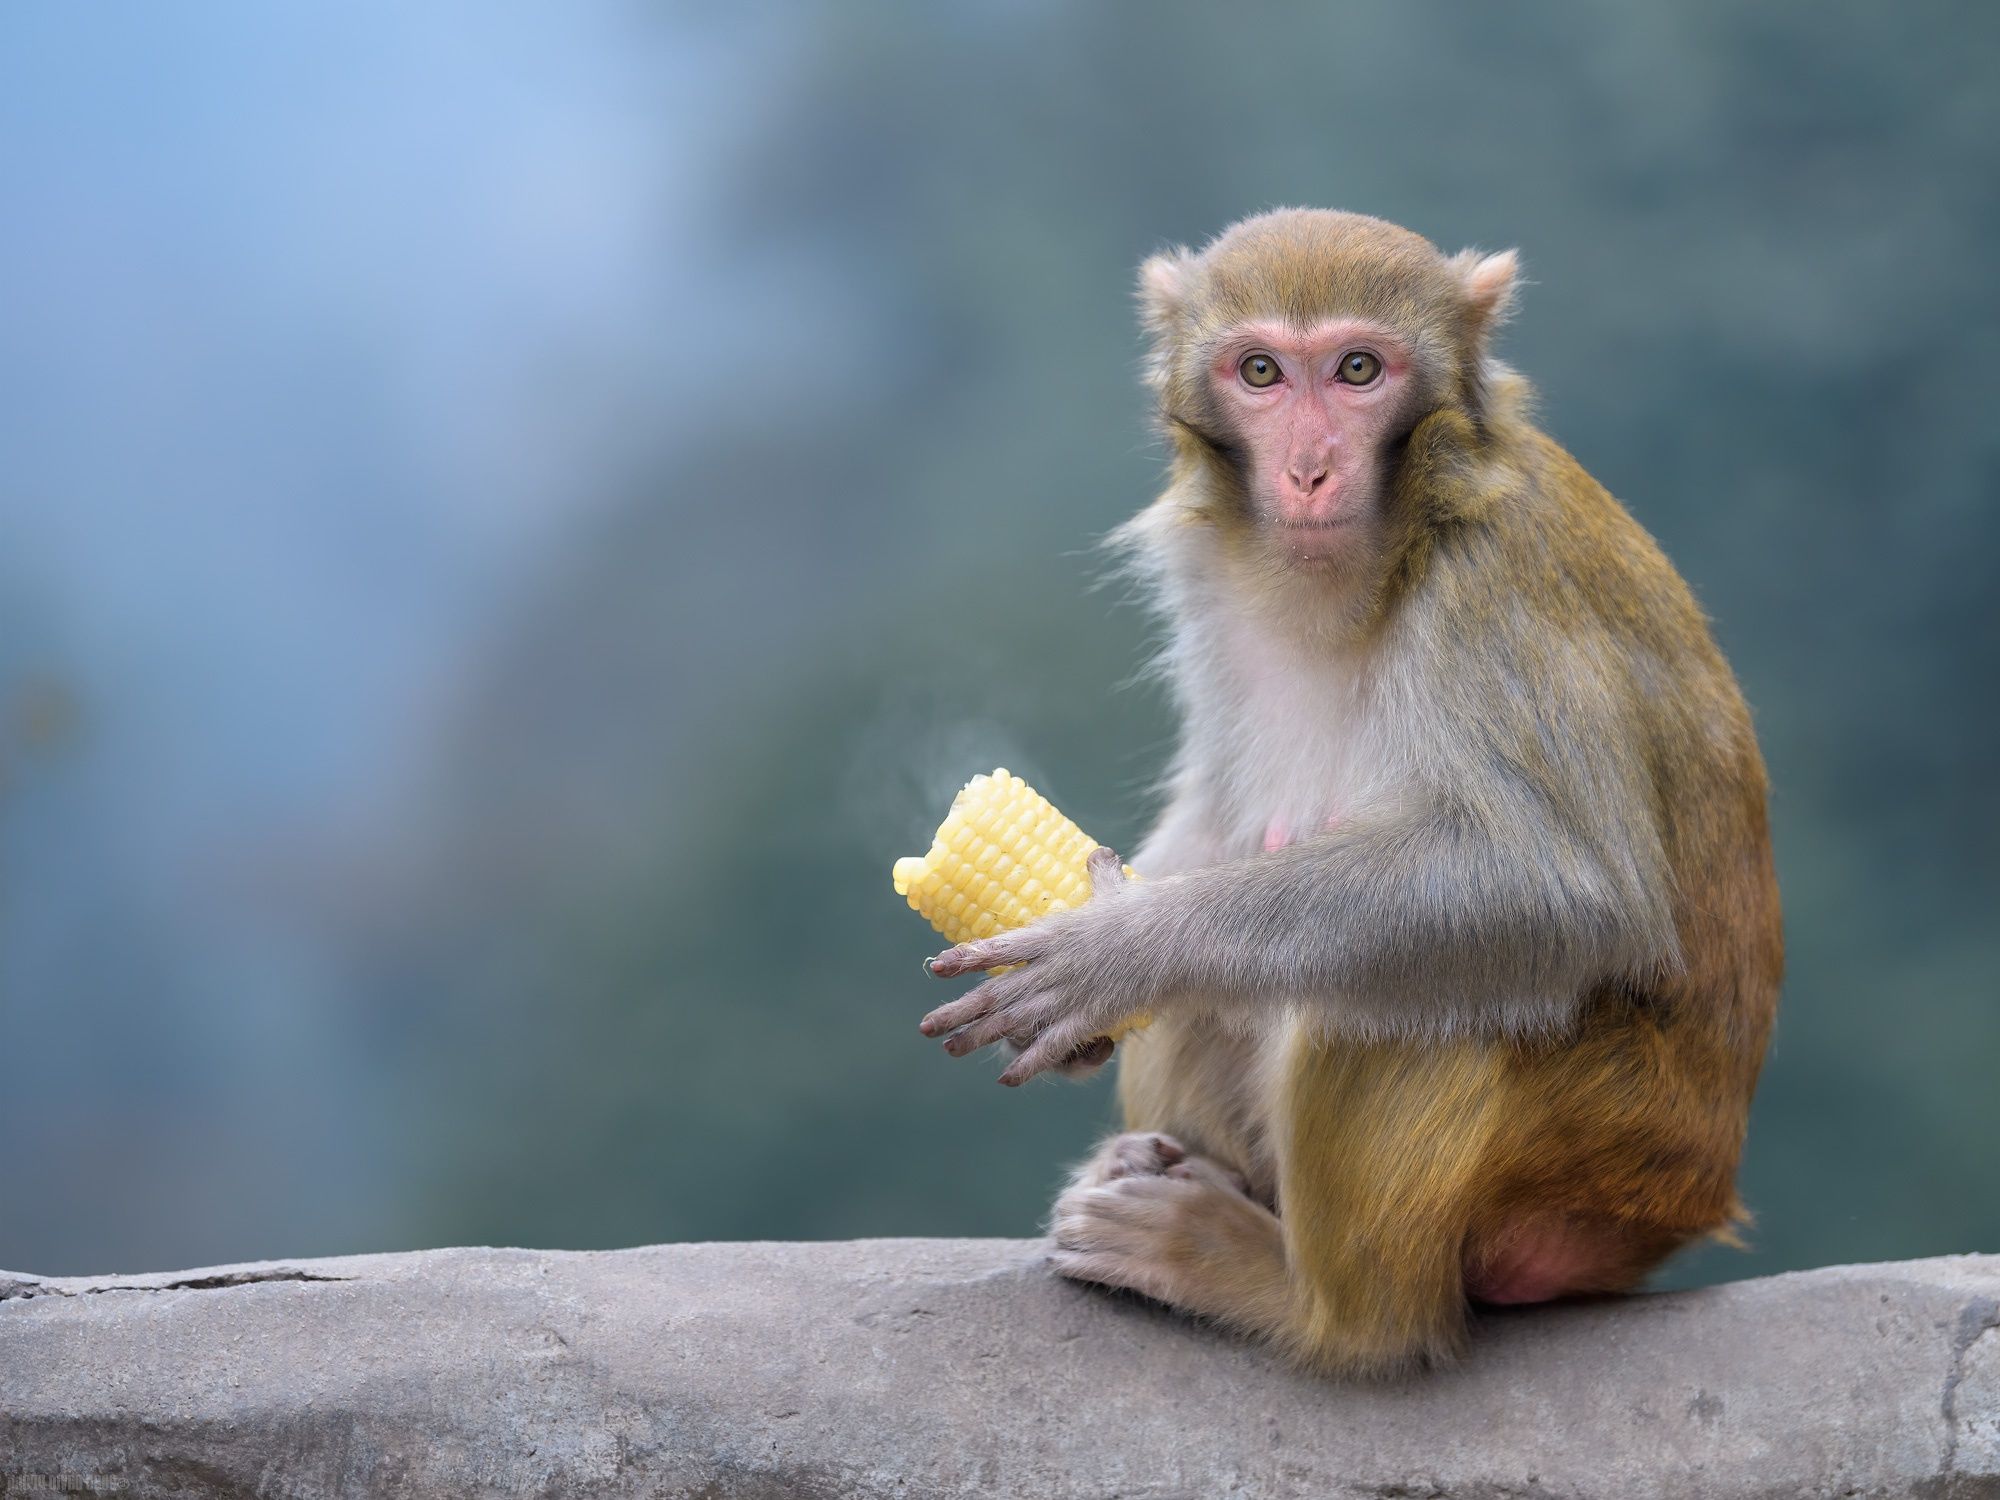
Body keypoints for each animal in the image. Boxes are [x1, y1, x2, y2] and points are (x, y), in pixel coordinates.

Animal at [918, 208, 1782, 1376]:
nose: (1313, 469)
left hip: (1601, 1158)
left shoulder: (1491, 580)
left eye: (1359, 370)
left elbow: (1559, 885)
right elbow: (1213, 819)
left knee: (1381, 990)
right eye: (1261, 372)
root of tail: (1685, 1203)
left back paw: (1302, 1304)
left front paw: (1120, 948)